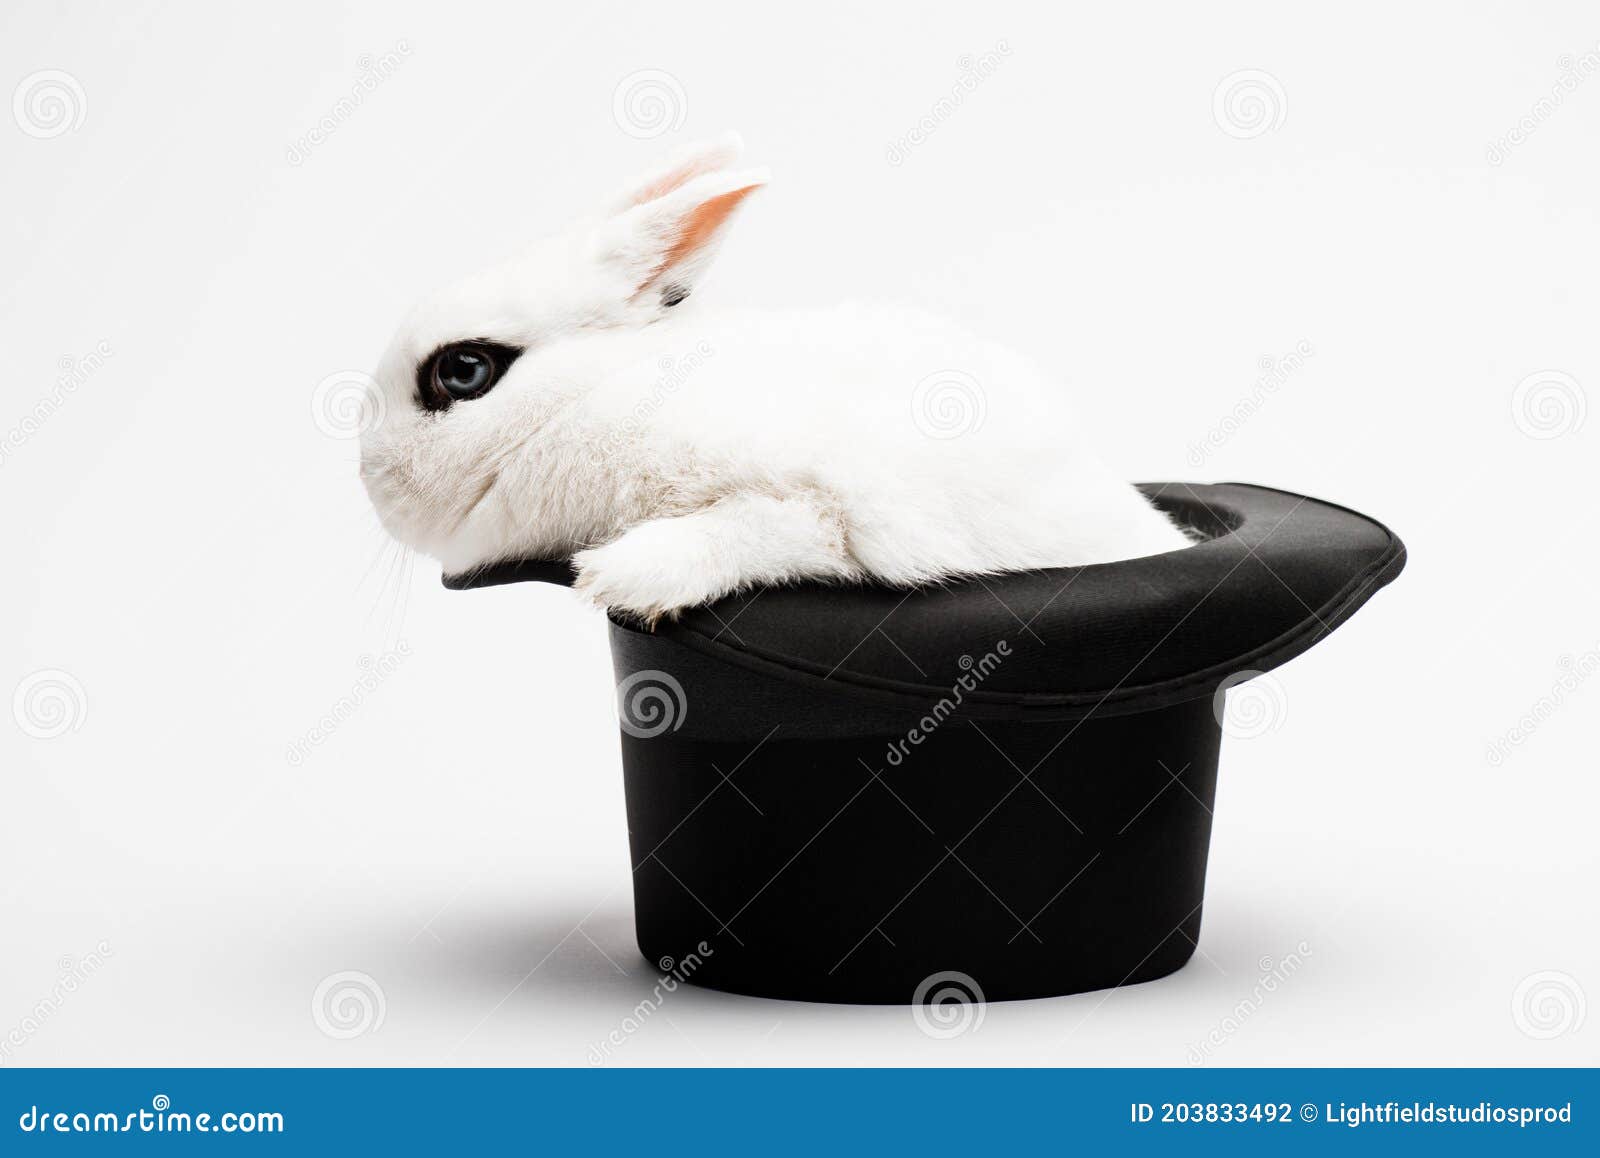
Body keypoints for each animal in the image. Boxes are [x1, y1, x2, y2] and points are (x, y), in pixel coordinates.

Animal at [359, 132, 1189, 624]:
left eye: (464, 370)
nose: (372, 484)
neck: (589, 401)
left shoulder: (832, 507)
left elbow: (753, 529)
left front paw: (619, 579)